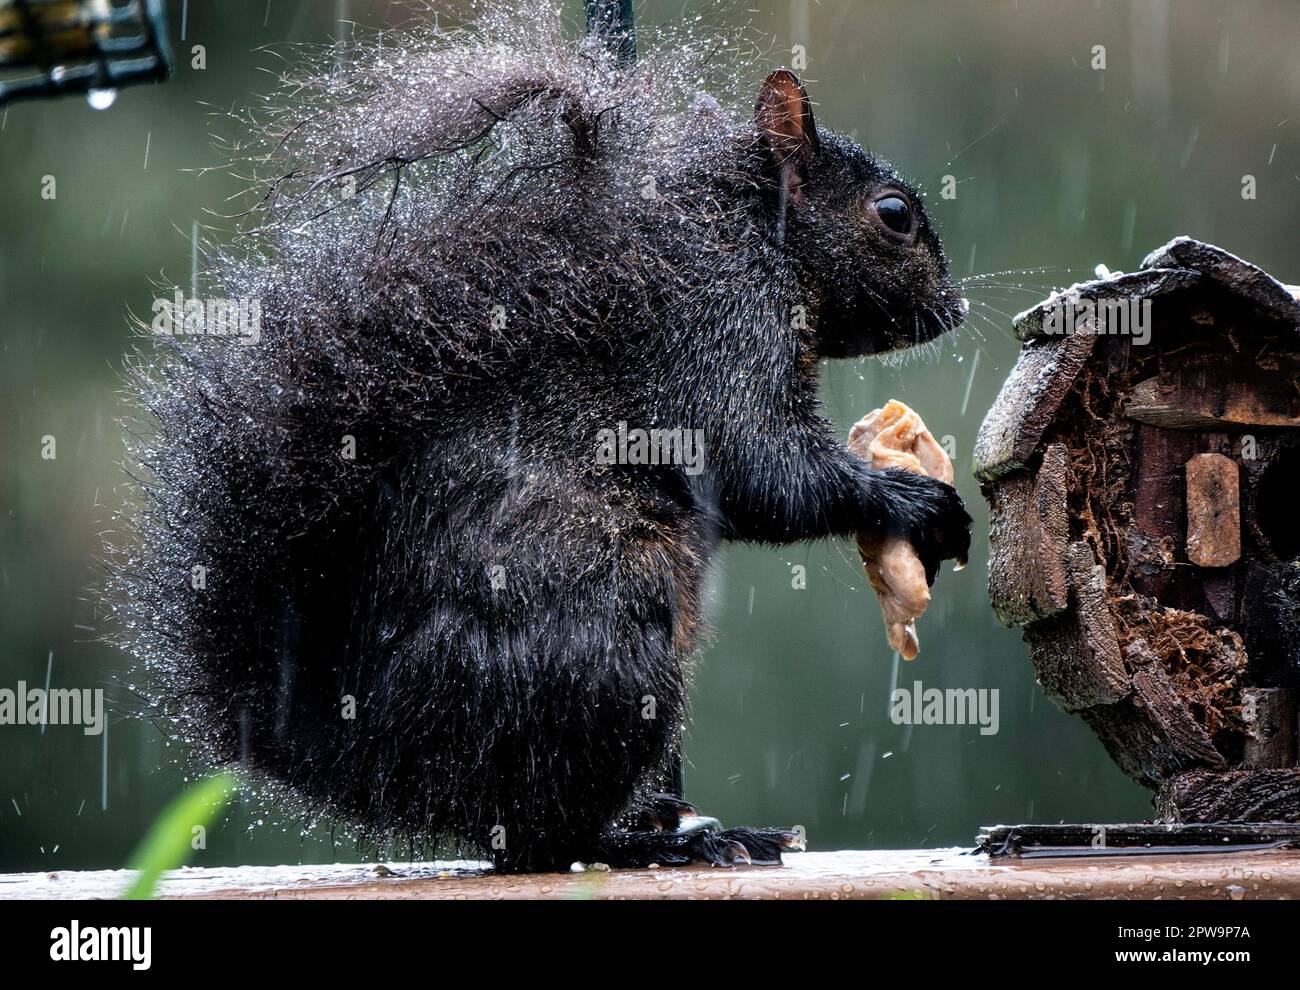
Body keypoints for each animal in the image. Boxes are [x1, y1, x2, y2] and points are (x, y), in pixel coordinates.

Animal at [110, 8, 971, 872]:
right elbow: (767, 471)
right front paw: (917, 501)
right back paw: (668, 842)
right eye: (894, 215)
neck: (751, 233)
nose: (957, 309)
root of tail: (365, 760)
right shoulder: (721, 325)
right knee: (541, 835)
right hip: (606, 637)